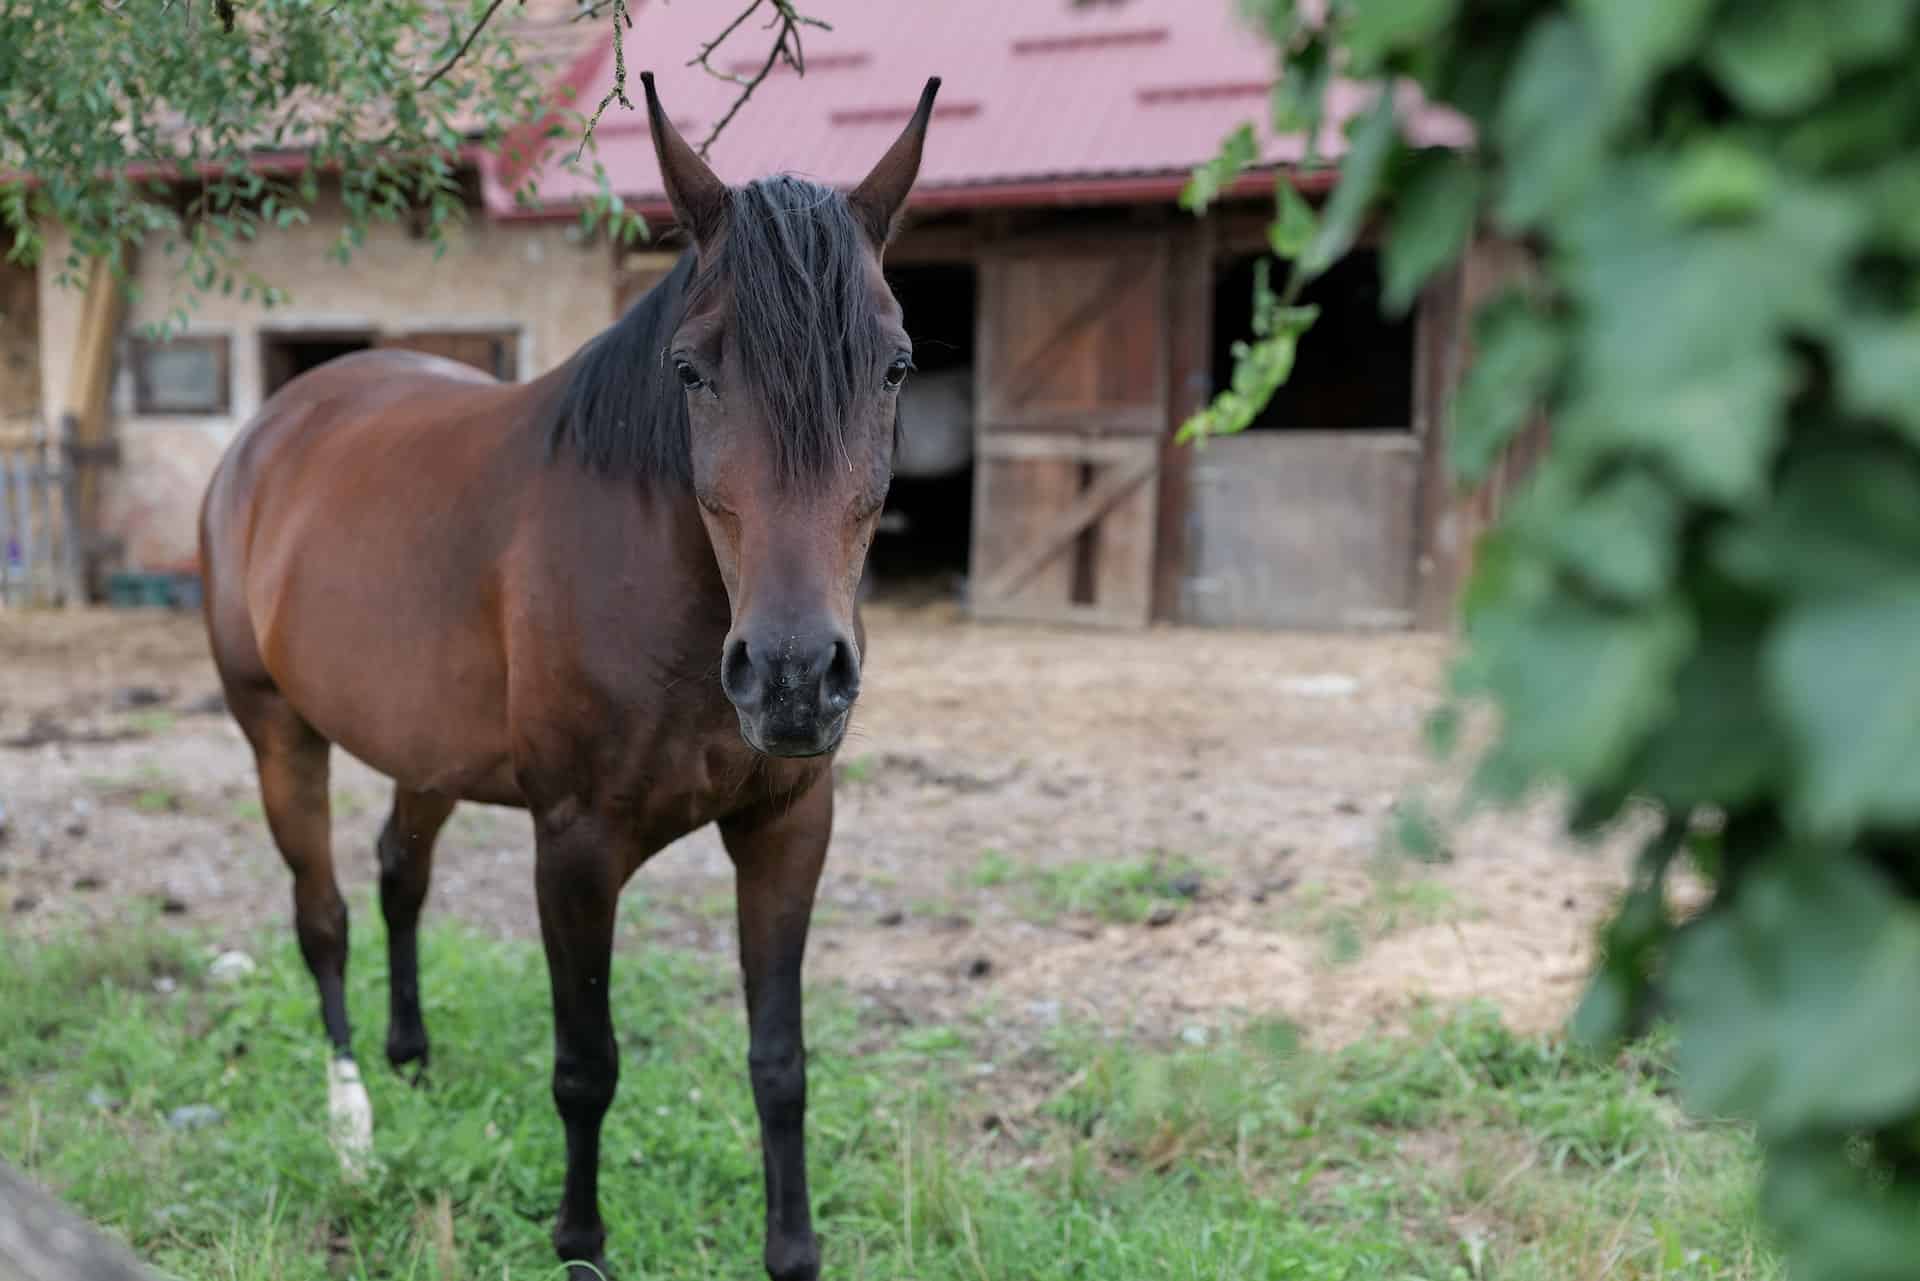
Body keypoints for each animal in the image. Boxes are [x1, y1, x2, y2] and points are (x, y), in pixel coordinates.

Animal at [197, 72, 942, 1280]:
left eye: (896, 364)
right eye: (690, 369)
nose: (791, 677)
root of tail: (273, 427)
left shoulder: (789, 825)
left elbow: (779, 1064)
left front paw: (792, 1252)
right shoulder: (577, 847)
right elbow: (586, 1066)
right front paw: (579, 1243)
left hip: (425, 750)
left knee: (399, 874)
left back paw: (410, 1056)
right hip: (278, 736)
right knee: (323, 918)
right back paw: (354, 1126)